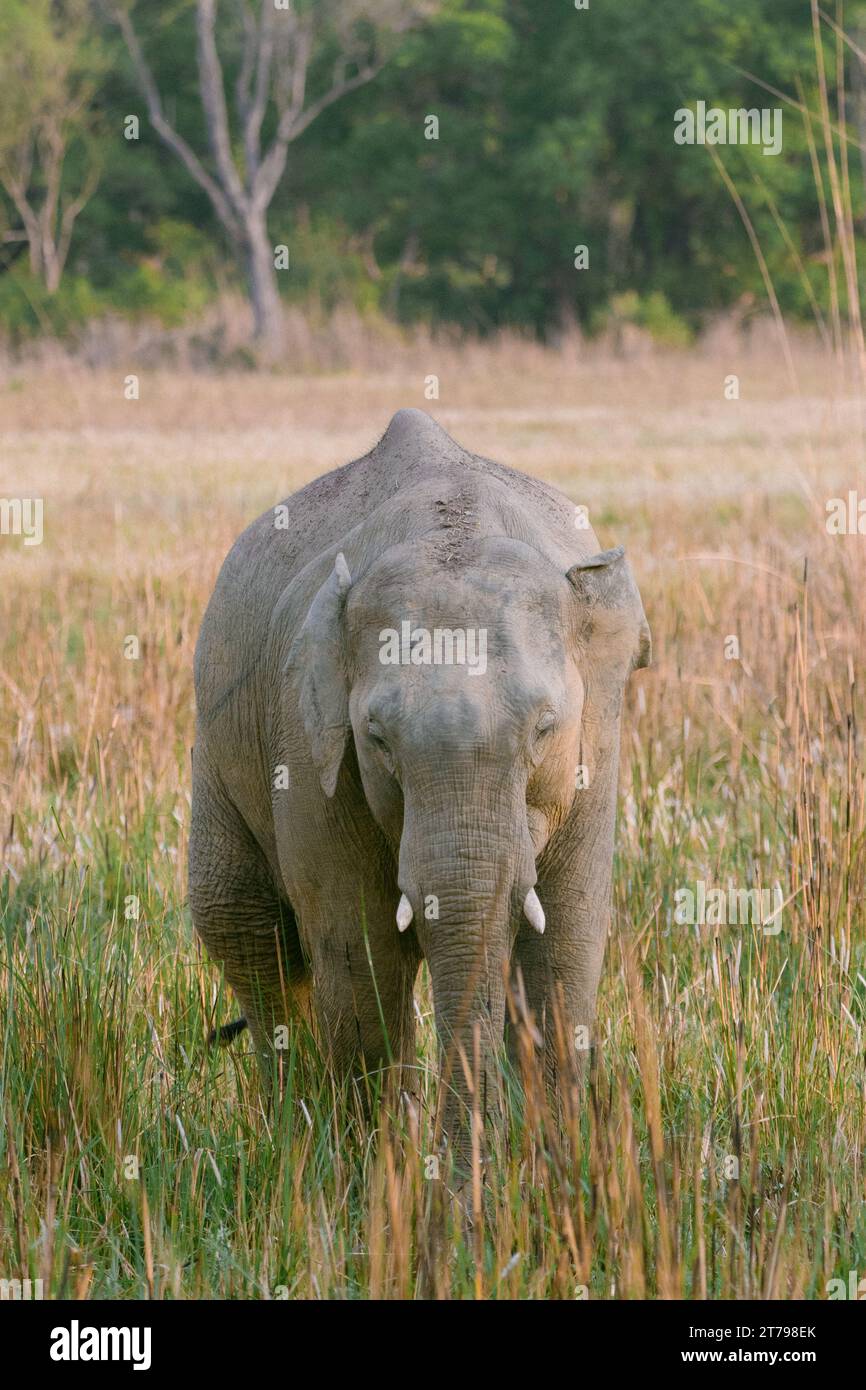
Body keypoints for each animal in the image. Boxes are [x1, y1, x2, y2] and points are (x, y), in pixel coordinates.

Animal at [190, 408, 650, 1156]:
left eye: (544, 729)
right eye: (378, 738)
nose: (469, 1171)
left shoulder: (596, 751)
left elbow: (564, 950)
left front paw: (552, 1167)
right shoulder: (309, 744)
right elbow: (361, 953)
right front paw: (378, 1167)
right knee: (245, 931)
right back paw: (290, 1135)